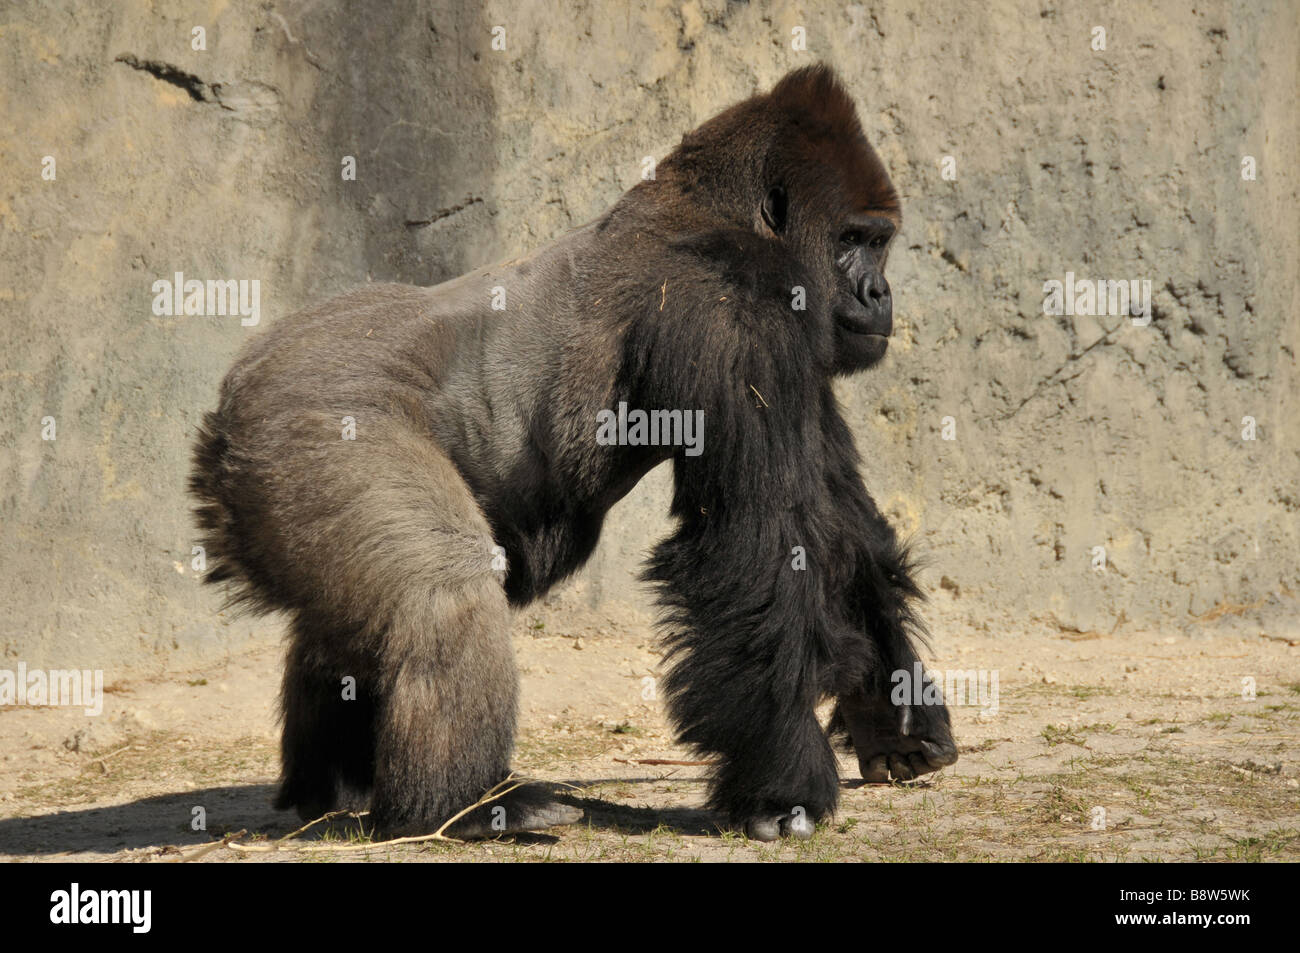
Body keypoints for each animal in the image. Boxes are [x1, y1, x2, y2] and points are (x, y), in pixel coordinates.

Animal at [190, 64, 957, 842]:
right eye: (853, 239)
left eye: (880, 242)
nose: (878, 291)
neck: (716, 212)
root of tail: (233, 396)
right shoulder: (734, 308)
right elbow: (757, 543)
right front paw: (784, 784)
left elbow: (837, 525)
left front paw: (895, 717)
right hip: (308, 418)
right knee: (443, 584)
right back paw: (462, 804)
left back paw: (331, 780)